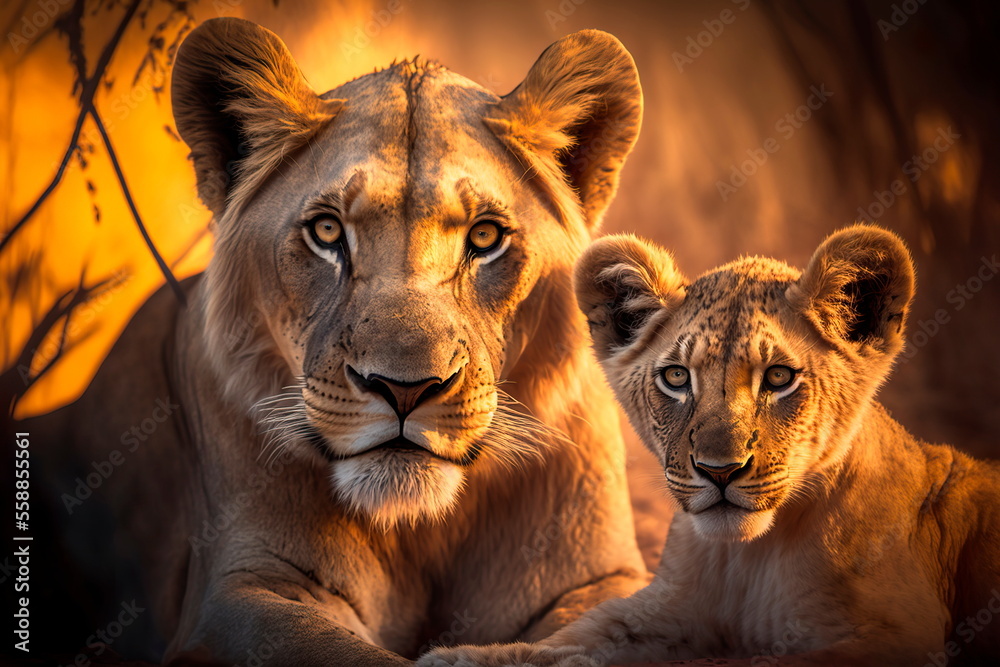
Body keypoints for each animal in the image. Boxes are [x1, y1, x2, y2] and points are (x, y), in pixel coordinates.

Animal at [21, 18, 652, 665]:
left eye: (484, 237)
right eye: (327, 231)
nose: (405, 390)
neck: (420, 536)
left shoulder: (600, 580)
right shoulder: (242, 590)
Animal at [419, 225, 1000, 666]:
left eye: (779, 377)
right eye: (677, 377)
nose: (720, 471)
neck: (751, 557)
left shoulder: (902, 633)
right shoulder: (660, 609)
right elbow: (570, 639)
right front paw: (465, 657)